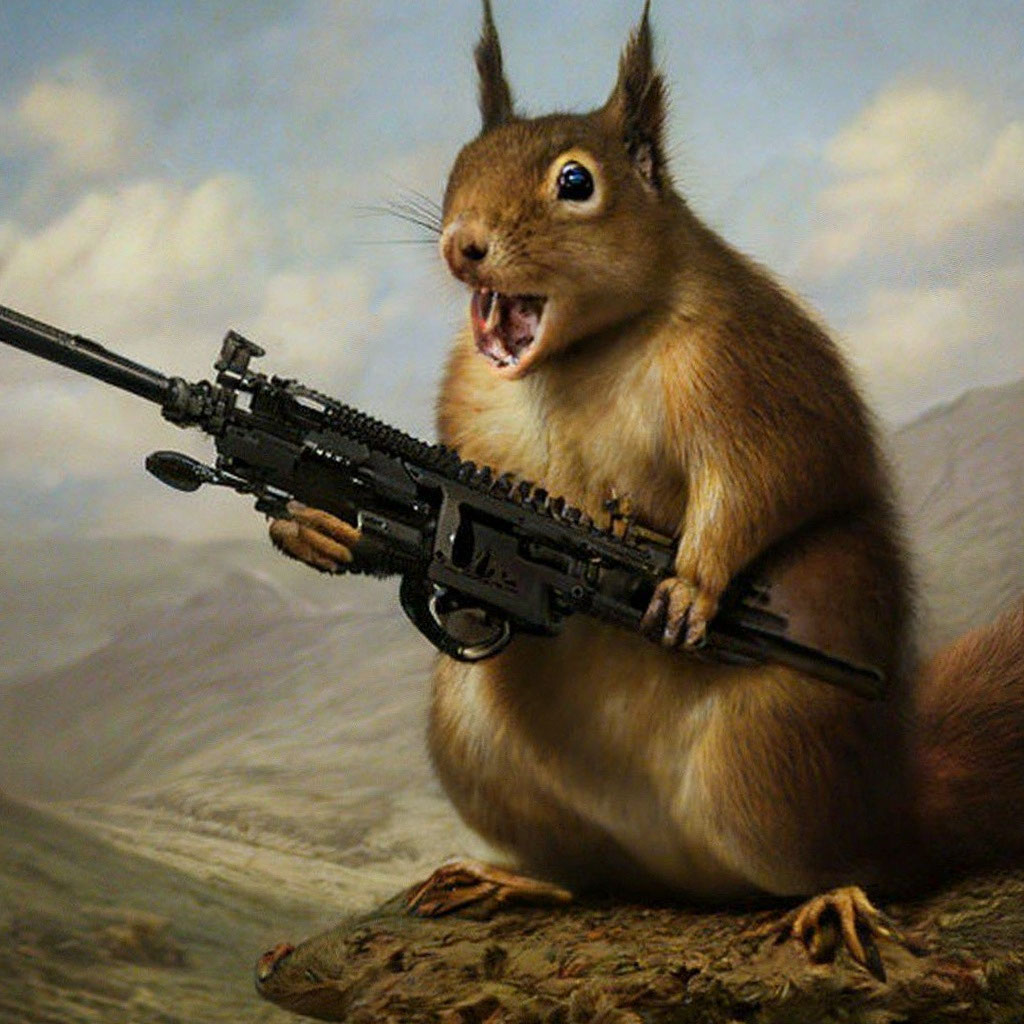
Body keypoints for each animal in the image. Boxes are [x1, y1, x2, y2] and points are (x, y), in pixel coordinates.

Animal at [269, 0, 1024, 977]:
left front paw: (692, 588)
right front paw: (317, 526)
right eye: (458, 168)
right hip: (478, 737)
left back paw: (835, 897)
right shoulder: (467, 410)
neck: (586, 348)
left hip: (776, 747)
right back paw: (514, 879)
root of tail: (679, 880)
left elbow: (759, 482)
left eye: (576, 182)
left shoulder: (746, 373)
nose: (462, 246)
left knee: (864, 860)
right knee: (587, 874)